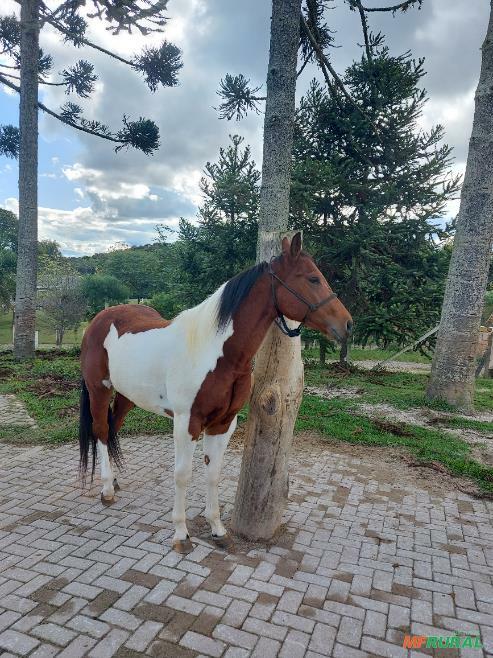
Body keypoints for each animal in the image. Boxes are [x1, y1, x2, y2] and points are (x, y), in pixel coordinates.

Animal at [79, 232, 352, 553]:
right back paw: (107, 489)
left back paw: (115, 482)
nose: (347, 324)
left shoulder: (223, 423)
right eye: (312, 278)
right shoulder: (187, 422)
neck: (218, 353)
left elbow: (214, 473)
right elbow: (182, 475)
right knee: (100, 431)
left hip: (127, 397)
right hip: (99, 391)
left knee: (112, 429)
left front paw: (217, 529)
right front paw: (180, 533)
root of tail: (99, 319)